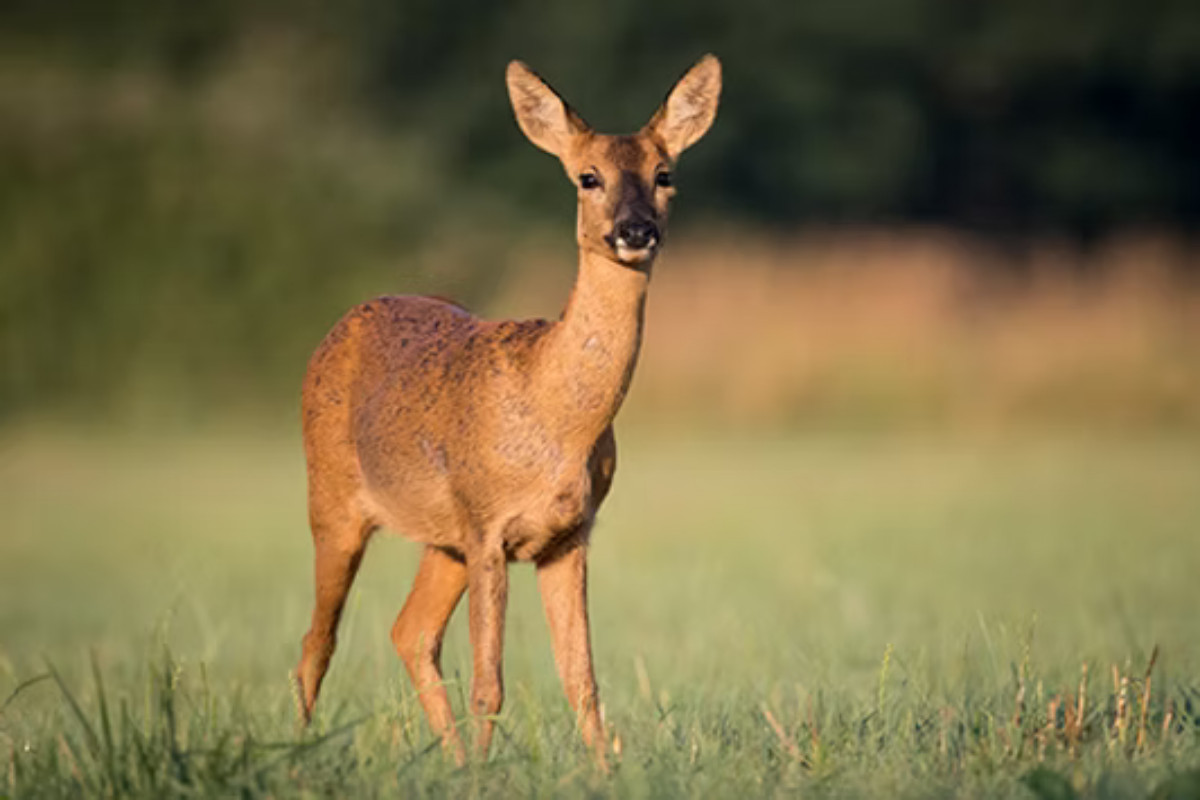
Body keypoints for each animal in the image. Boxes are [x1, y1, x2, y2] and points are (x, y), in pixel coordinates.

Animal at [294, 54, 721, 765]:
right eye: (587, 176)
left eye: (665, 175)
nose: (636, 230)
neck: (557, 419)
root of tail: (341, 324)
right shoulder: (487, 526)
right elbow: (490, 684)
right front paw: (488, 774)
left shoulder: (568, 535)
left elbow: (582, 679)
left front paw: (603, 771)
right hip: (334, 503)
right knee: (316, 644)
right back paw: (299, 756)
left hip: (440, 538)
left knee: (409, 631)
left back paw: (448, 759)